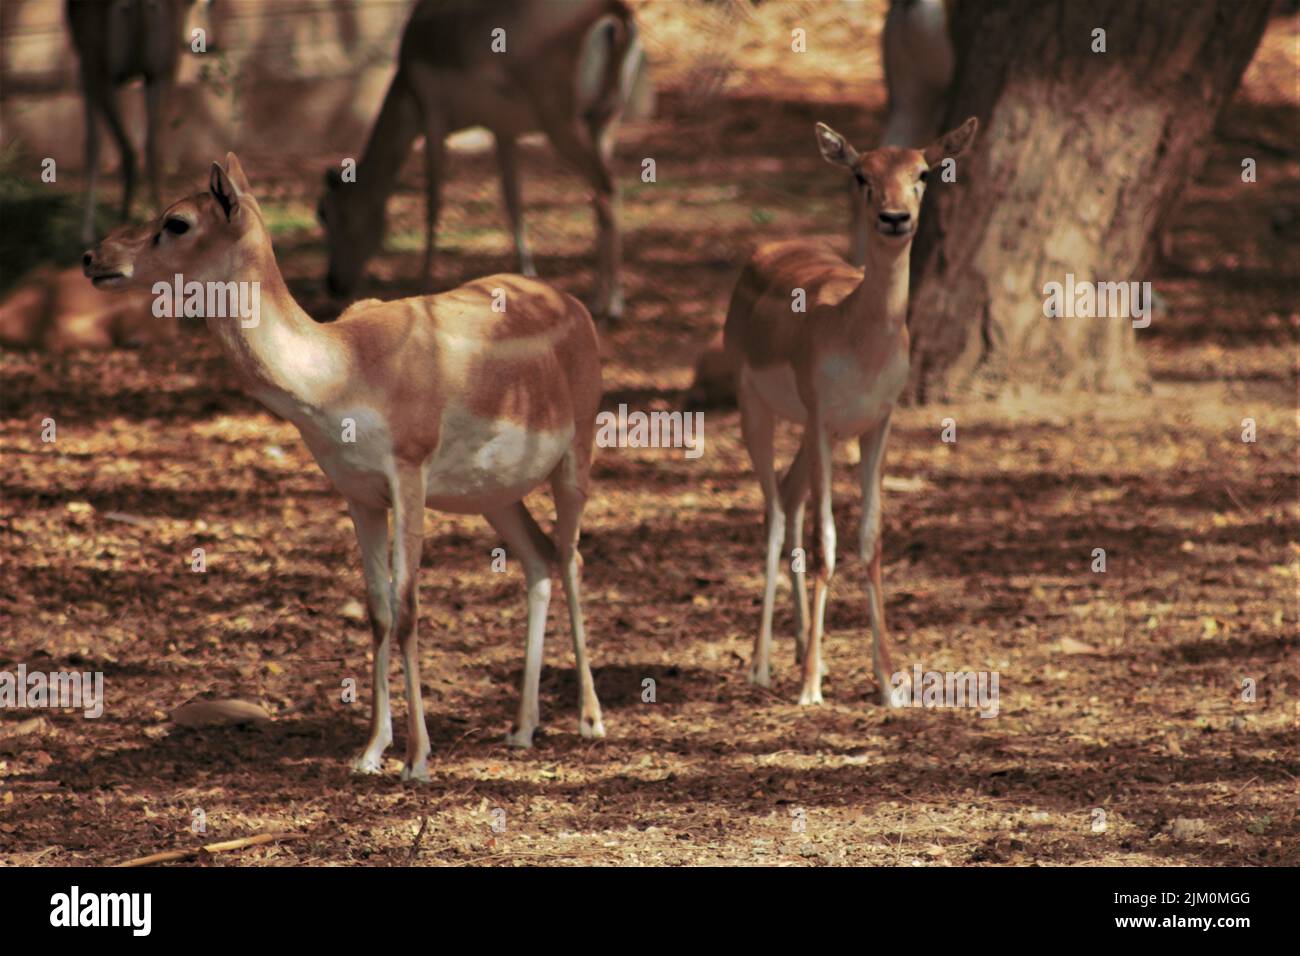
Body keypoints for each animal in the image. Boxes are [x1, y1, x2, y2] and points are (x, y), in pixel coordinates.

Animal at [65, 0, 196, 245]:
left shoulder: (86, 65)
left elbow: (92, 143)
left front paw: (85, 233)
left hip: (102, 67)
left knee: (129, 150)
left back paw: (120, 228)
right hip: (163, 70)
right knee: (152, 148)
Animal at [83, 154, 606, 781]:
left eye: (177, 221)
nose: (94, 257)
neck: (342, 370)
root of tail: (575, 306)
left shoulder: (409, 473)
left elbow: (407, 608)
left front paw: (418, 759)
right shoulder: (358, 493)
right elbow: (377, 610)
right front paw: (371, 752)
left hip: (576, 455)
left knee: (573, 557)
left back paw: (591, 721)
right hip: (495, 495)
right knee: (539, 560)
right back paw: (522, 729)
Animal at [318, 0, 648, 321]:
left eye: (329, 213)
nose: (333, 283)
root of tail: (614, 11)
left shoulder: (433, 119)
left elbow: (433, 203)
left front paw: (424, 285)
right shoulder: (503, 132)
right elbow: (512, 200)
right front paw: (526, 278)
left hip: (563, 123)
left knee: (607, 188)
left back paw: (612, 305)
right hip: (604, 123)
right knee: (600, 196)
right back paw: (601, 298)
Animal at [724, 116, 977, 706]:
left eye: (923, 172)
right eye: (862, 174)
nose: (894, 217)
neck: (856, 332)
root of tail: (766, 251)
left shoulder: (875, 425)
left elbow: (869, 541)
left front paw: (887, 682)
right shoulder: (821, 421)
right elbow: (827, 544)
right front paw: (811, 686)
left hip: (820, 435)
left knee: (790, 496)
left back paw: (798, 648)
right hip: (757, 412)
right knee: (774, 514)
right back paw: (763, 665)